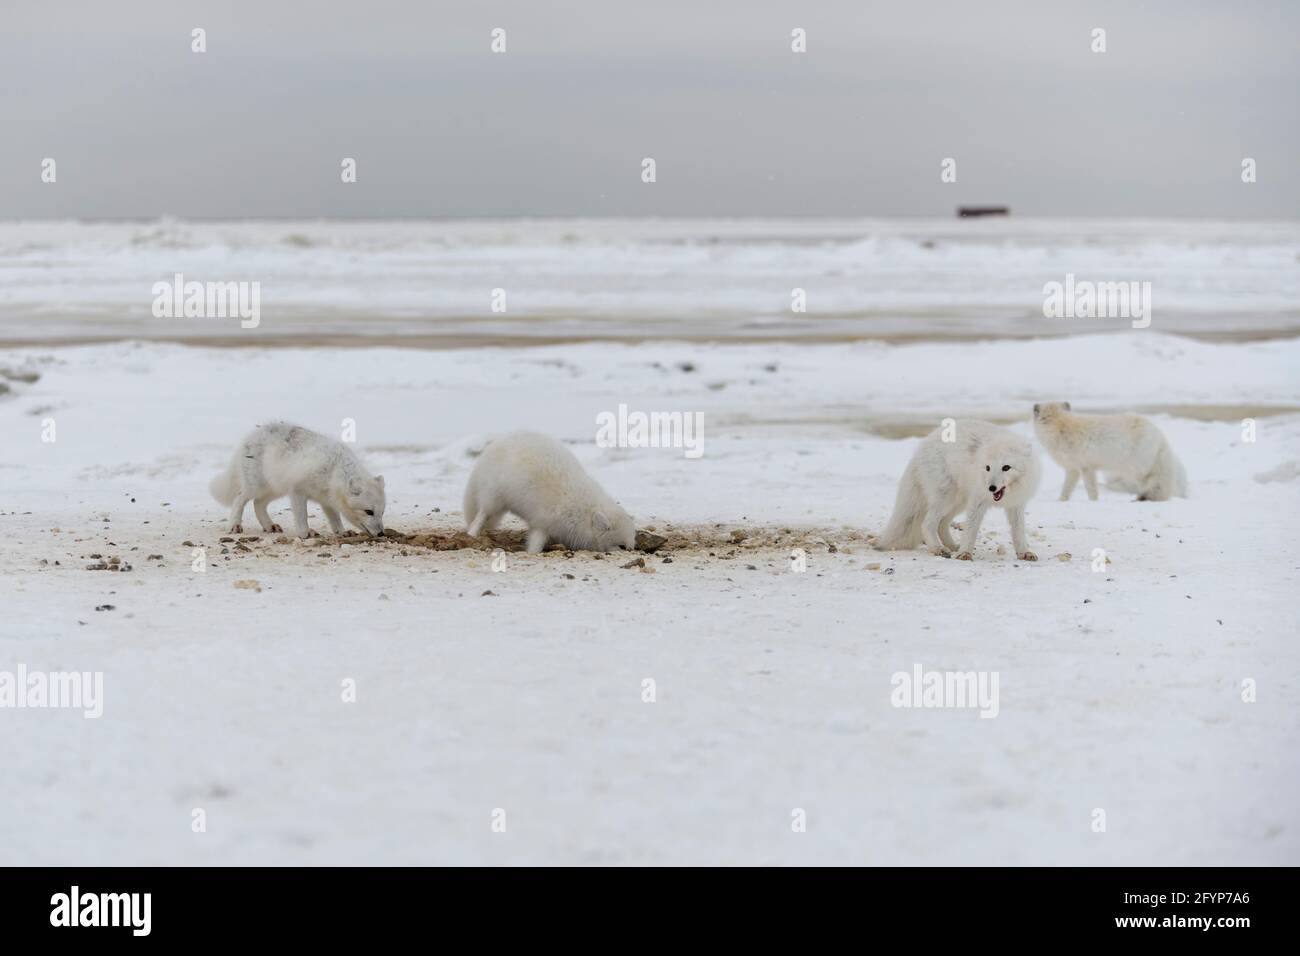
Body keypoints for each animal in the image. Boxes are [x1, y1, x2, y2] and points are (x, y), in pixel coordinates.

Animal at [209, 422, 386, 537]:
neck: (333, 471)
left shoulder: (326, 499)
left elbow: (334, 518)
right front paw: (305, 533)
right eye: (368, 511)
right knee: (239, 499)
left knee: (258, 503)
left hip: (275, 489)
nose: (381, 534)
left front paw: (342, 532)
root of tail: (250, 436)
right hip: (256, 486)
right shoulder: (297, 491)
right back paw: (234, 525)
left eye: (382, 512)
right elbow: (302, 516)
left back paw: (270, 526)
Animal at [463, 431, 636, 553]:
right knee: (482, 515)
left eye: (631, 544)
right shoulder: (542, 524)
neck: (584, 511)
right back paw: (471, 534)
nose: (632, 551)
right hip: (493, 498)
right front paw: (532, 553)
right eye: (621, 546)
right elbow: (535, 545)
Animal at [875, 420, 1041, 561]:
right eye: (987, 468)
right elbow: (971, 529)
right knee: (927, 524)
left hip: (958, 502)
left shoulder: (1017, 505)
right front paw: (965, 553)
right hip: (946, 498)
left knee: (942, 524)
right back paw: (939, 549)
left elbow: (1019, 531)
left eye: (1006, 467)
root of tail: (924, 443)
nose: (991, 488)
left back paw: (953, 546)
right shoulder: (977, 500)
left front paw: (1024, 552)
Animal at [1032, 402, 1187, 502]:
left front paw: (1093, 502)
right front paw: (1062, 501)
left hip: (1136, 470)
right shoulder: (1073, 469)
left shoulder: (1087, 467)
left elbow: (1091, 489)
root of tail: (1160, 435)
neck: (1059, 425)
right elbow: (1067, 489)